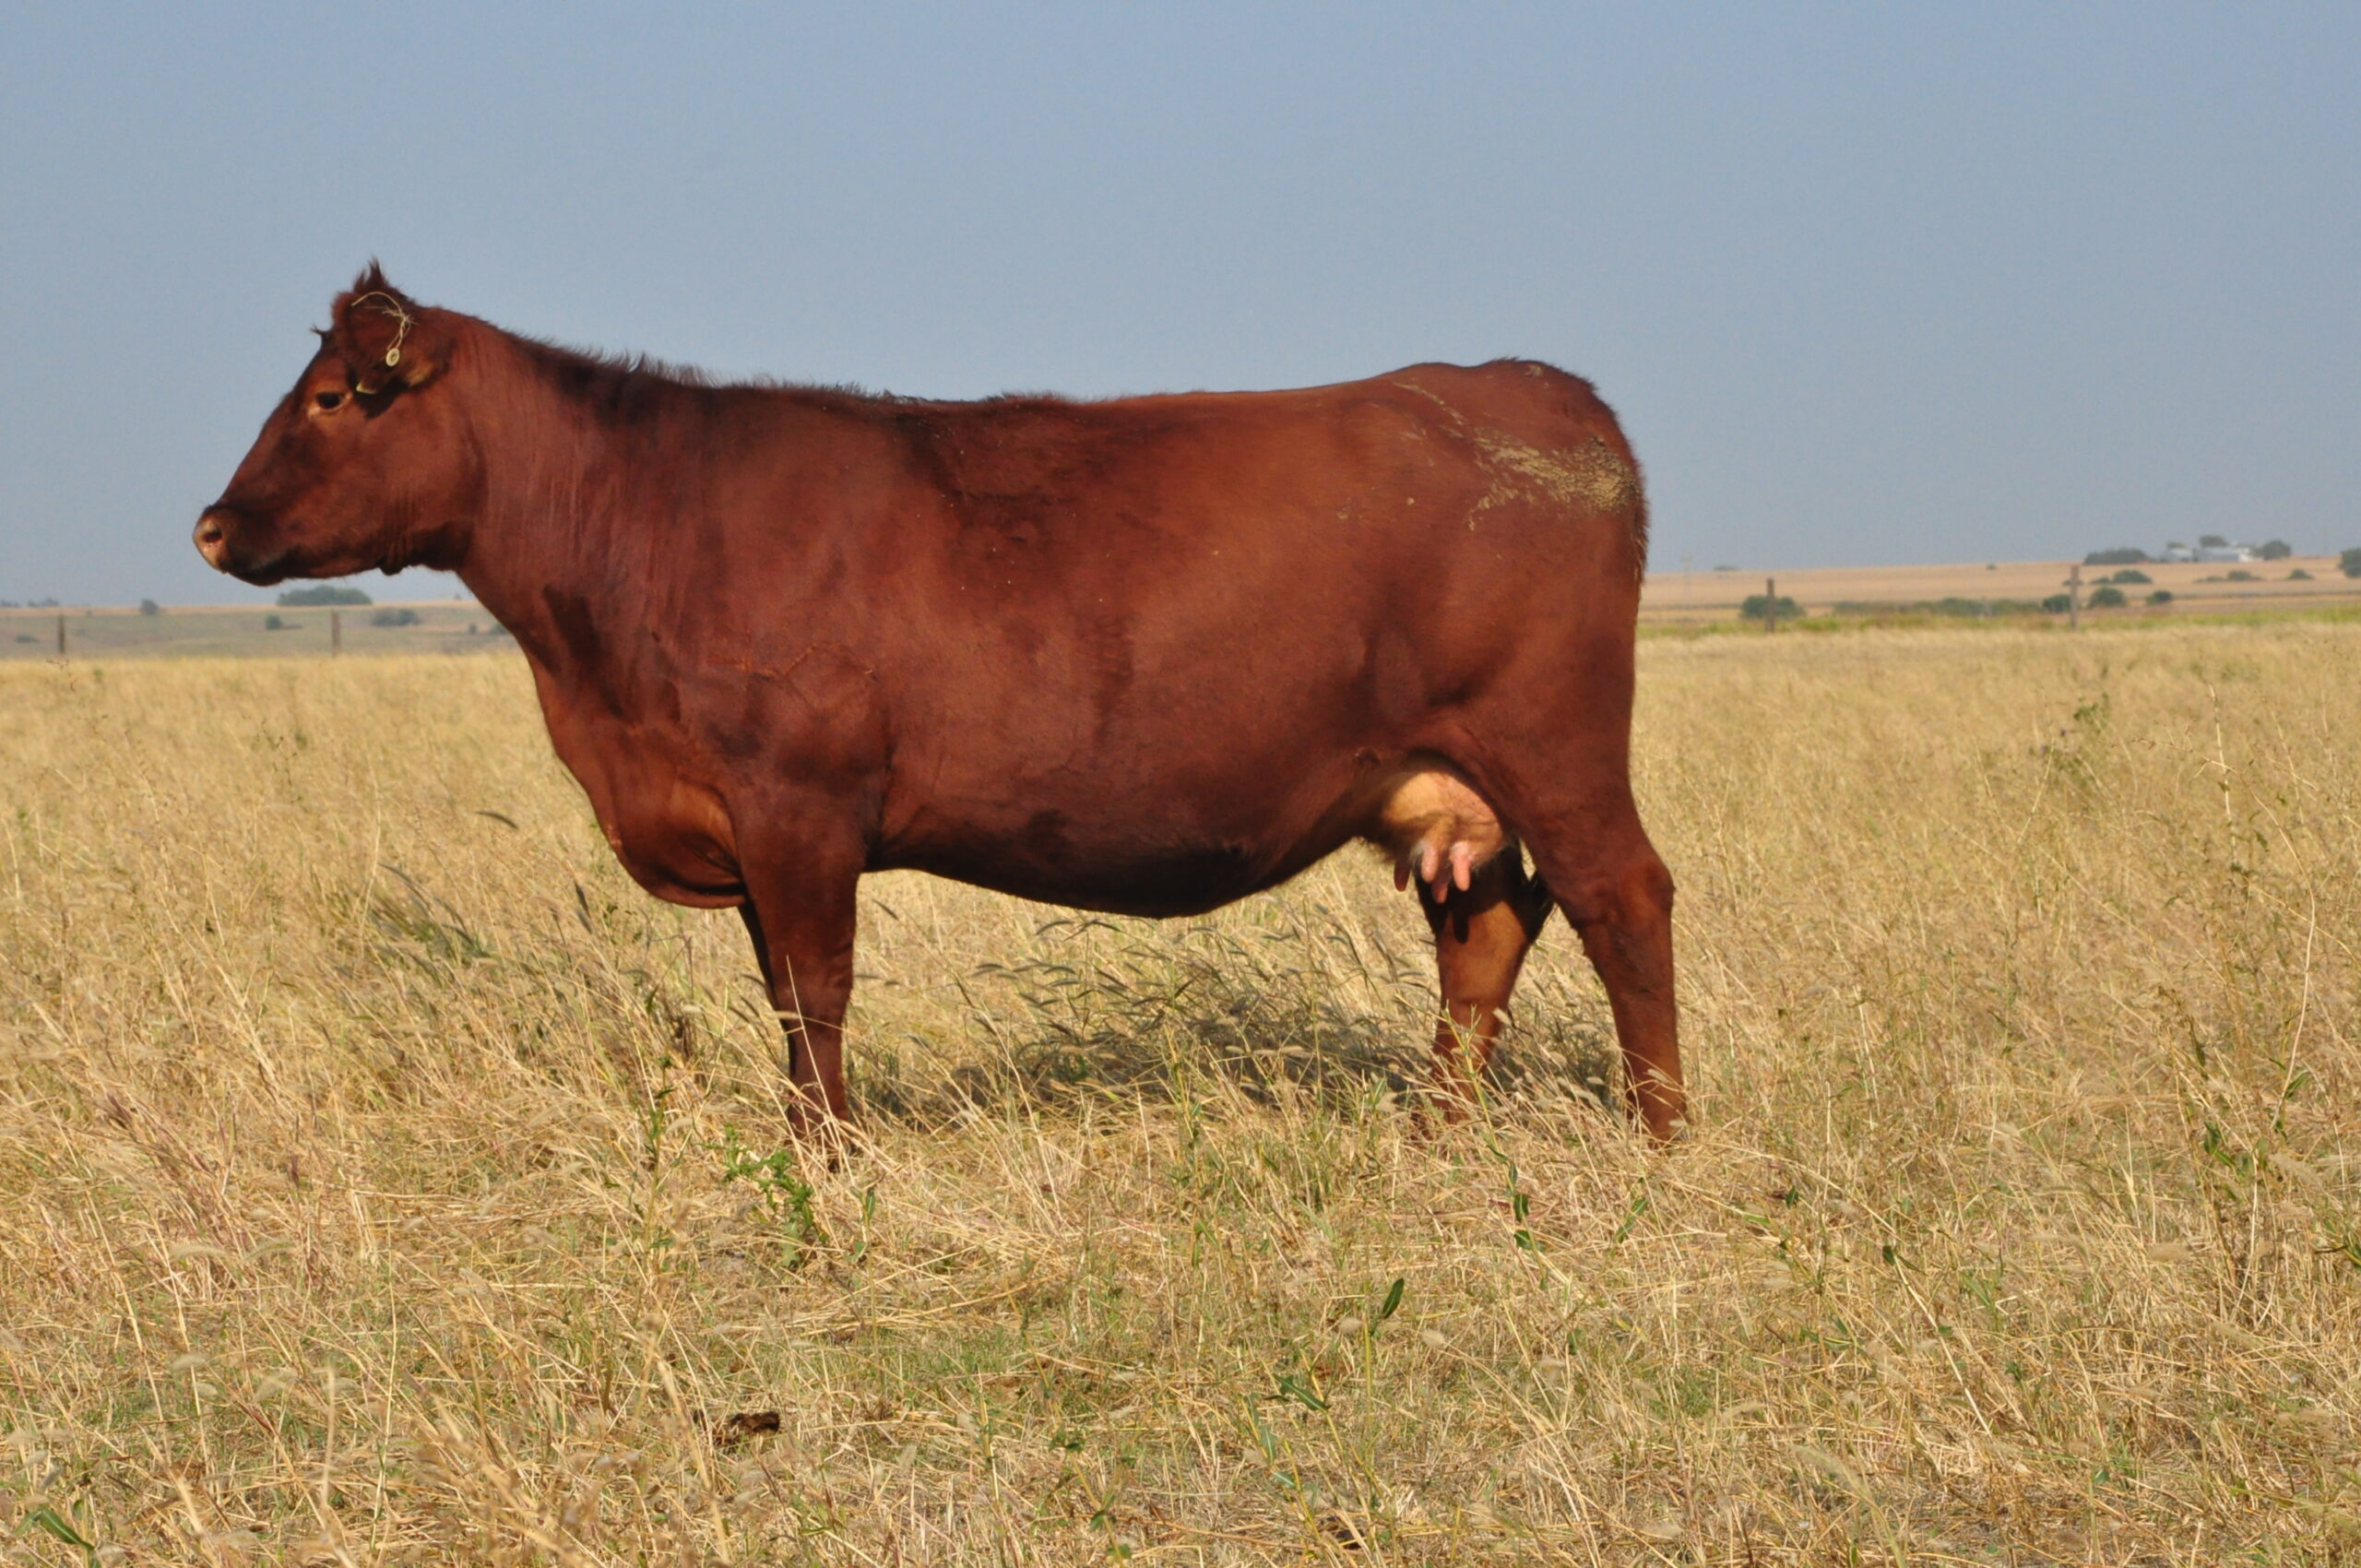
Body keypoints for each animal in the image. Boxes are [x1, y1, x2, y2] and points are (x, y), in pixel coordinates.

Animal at [195, 269, 1684, 1139]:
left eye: (328, 398)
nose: (211, 526)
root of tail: (1531, 389)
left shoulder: (797, 809)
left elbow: (818, 993)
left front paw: (827, 1159)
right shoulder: (742, 829)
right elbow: (783, 998)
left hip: (1555, 743)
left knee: (1622, 901)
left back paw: (1658, 1134)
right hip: (1441, 783)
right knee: (1485, 929)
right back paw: (1436, 1132)